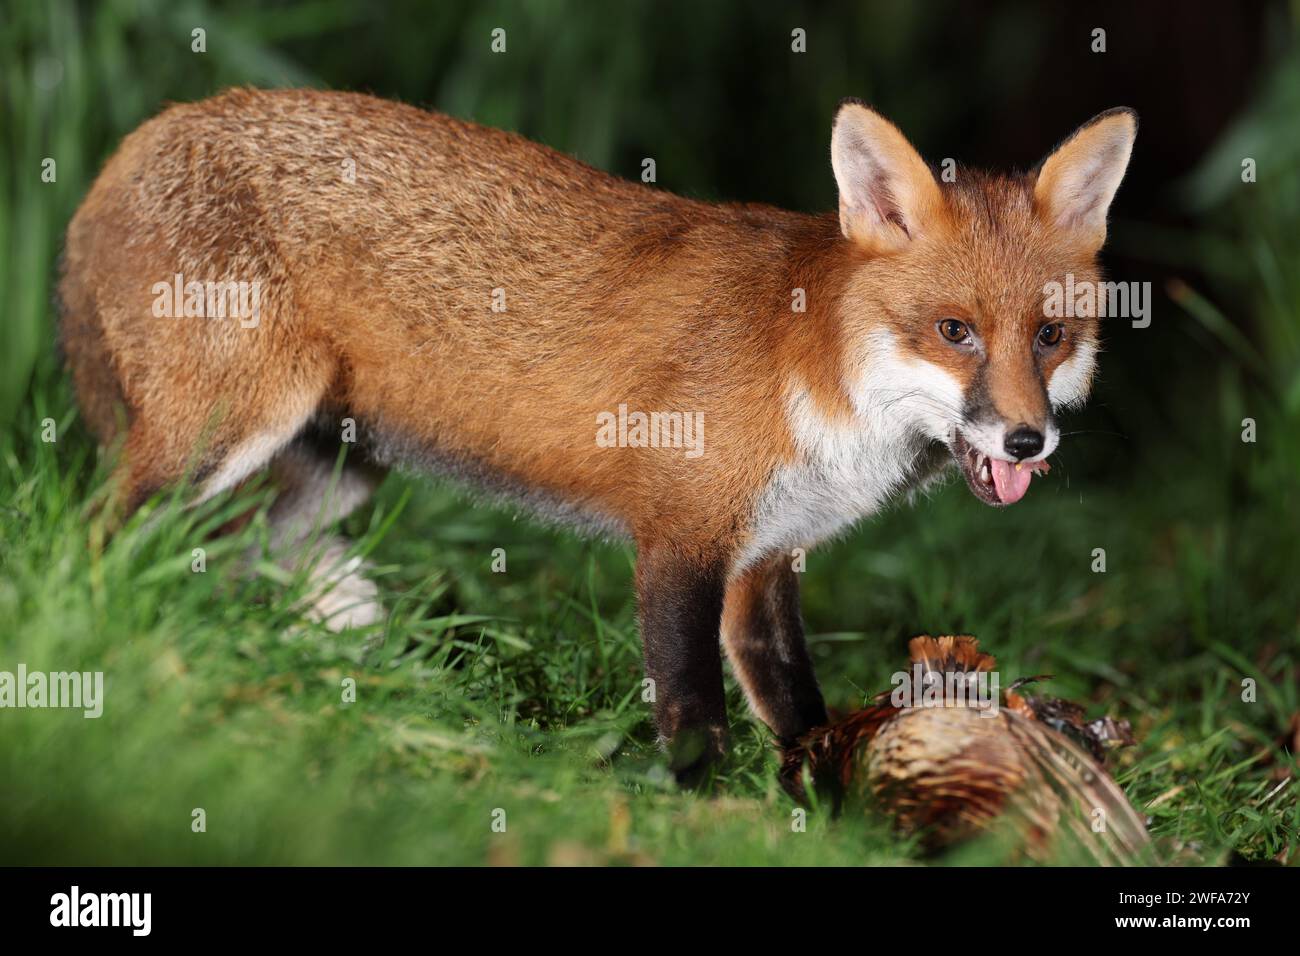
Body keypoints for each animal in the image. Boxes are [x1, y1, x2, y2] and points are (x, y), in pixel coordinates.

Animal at [59, 88, 1135, 776]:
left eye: (1050, 336)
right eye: (954, 332)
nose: (1028, 442)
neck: (817, 375)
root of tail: (133, 142)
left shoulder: (766, 561)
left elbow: (799, 714)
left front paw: (823, 814)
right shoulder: (681, 536)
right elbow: (693, 711)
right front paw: (700, 810)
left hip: (331, 471)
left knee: (243, 566)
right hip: (222, 437)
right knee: (101, 544)